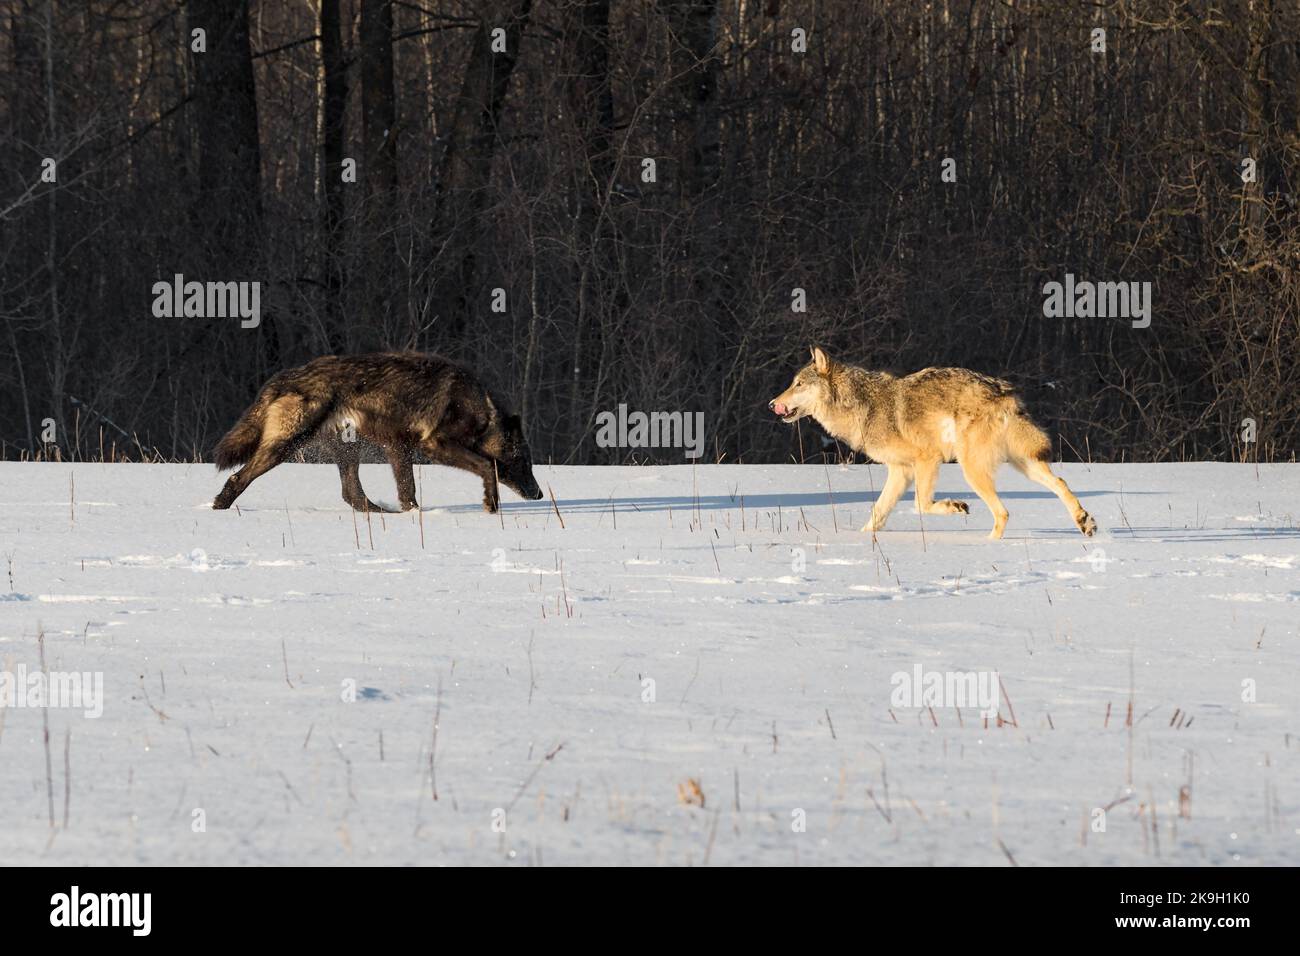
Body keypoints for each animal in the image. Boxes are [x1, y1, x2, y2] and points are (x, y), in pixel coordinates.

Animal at [211, 352, 544, 513]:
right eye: (525, 461)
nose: (539, 494)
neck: (476, 407)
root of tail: (283, 377)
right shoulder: (435, 444)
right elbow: (487, 466)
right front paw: (491, 505)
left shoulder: (399, 447)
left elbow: (407, 491)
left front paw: (413, 515)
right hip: (286, 445)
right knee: (238, 477)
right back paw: (219, 507)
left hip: (348, 449)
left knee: (352, 494)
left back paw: (380, 513)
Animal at [769, 347, 1096, 539]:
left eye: (798, 384)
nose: (773, 404)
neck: (864, 405)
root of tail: (1003, 392)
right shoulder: (900, 471)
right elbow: (877, 513)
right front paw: (862, 541)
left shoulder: (926, 460)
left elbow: (922, 505)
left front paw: (955, 506)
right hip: (1021, 464)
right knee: (1061, 483)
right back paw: (1084, 521)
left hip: (972, 469)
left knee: (1003, 512)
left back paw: (989, 546)